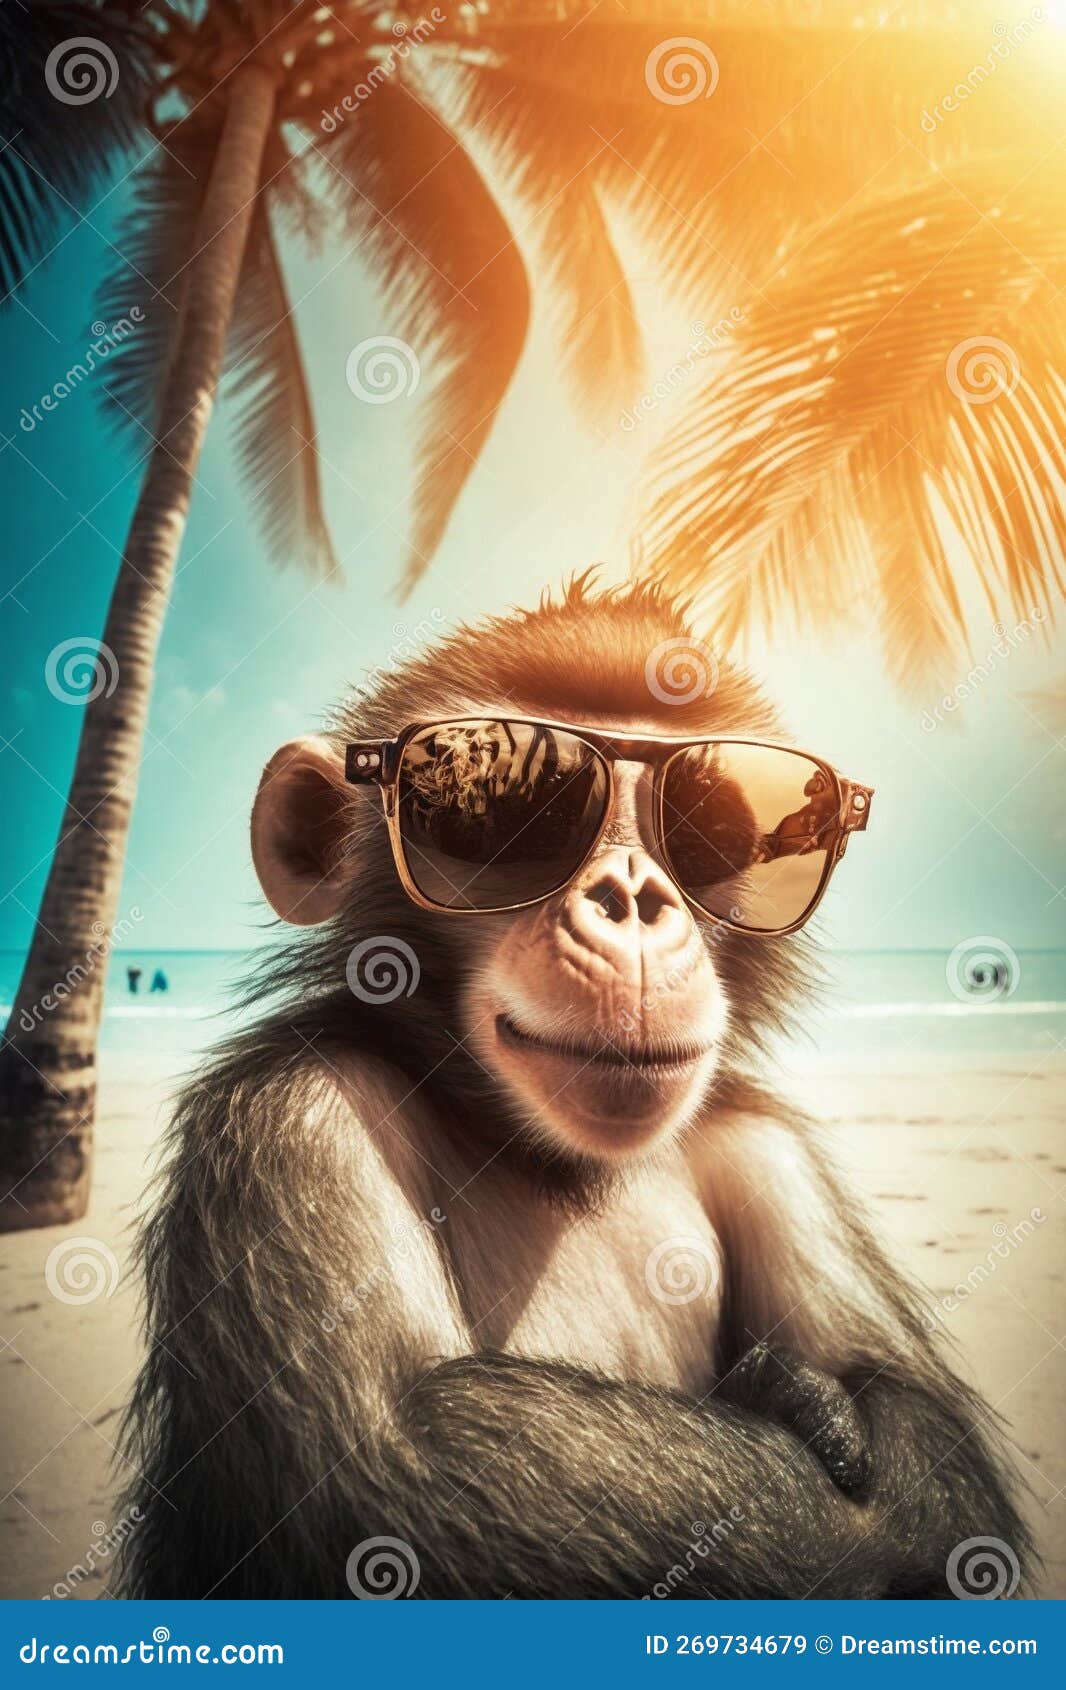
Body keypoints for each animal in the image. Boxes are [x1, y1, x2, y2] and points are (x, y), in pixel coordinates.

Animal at [118, 575, 1030, 1600]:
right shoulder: (292, 1118)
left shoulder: (768, 1148)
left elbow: (917, 1433)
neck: (553, 1161)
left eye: (712, 826)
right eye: (514, 819)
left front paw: (815, 1395)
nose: (634, 895)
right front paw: (794, 1397)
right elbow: (403, 1458)